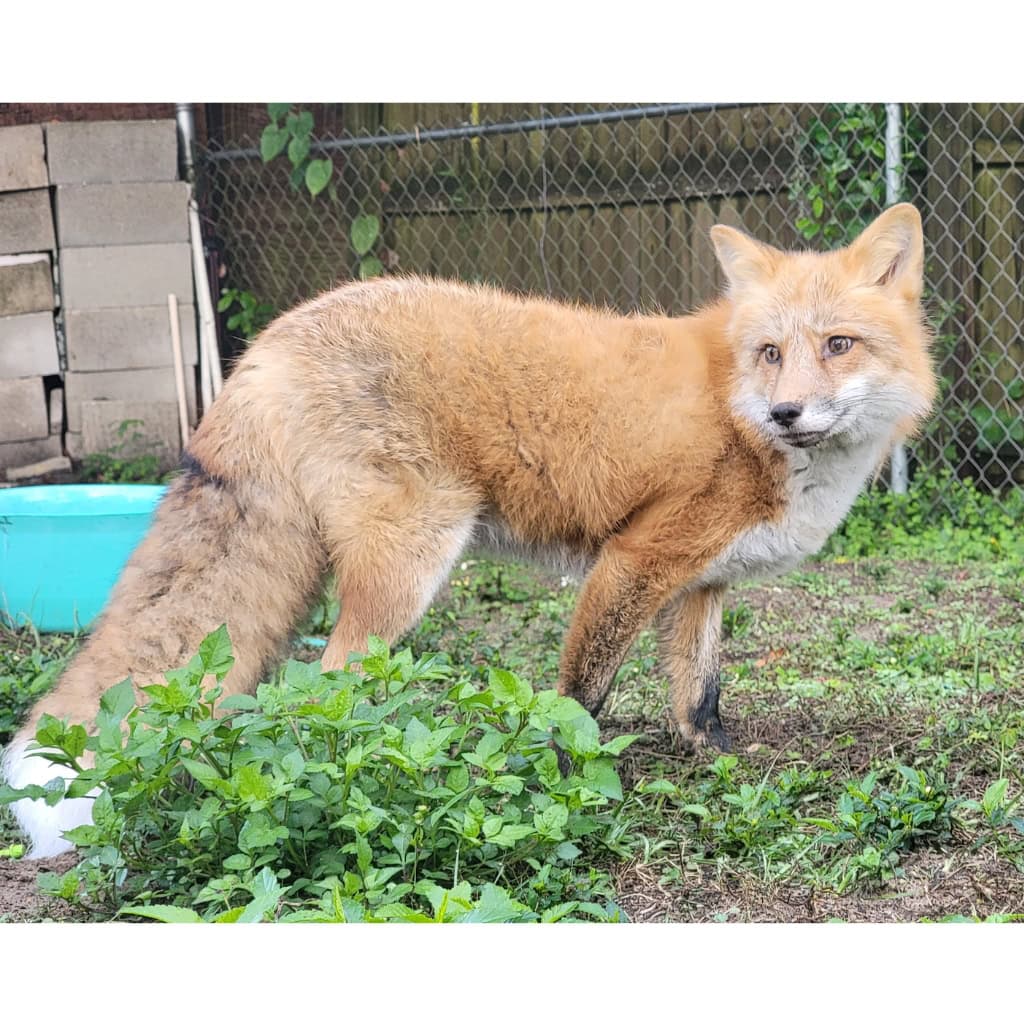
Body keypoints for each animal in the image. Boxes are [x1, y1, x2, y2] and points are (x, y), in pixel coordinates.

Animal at [3, 202, 935, 858]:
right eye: (772, 353)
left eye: (838, 345)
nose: (787, 413)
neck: (739, 414)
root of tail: (267, 343)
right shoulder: (632, 559)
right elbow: (581, 698)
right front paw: (565, 783)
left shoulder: (699, 578)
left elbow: (697, 695)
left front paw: (718, 763)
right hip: (408, 568)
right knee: (323, 691)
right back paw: (369, 784)